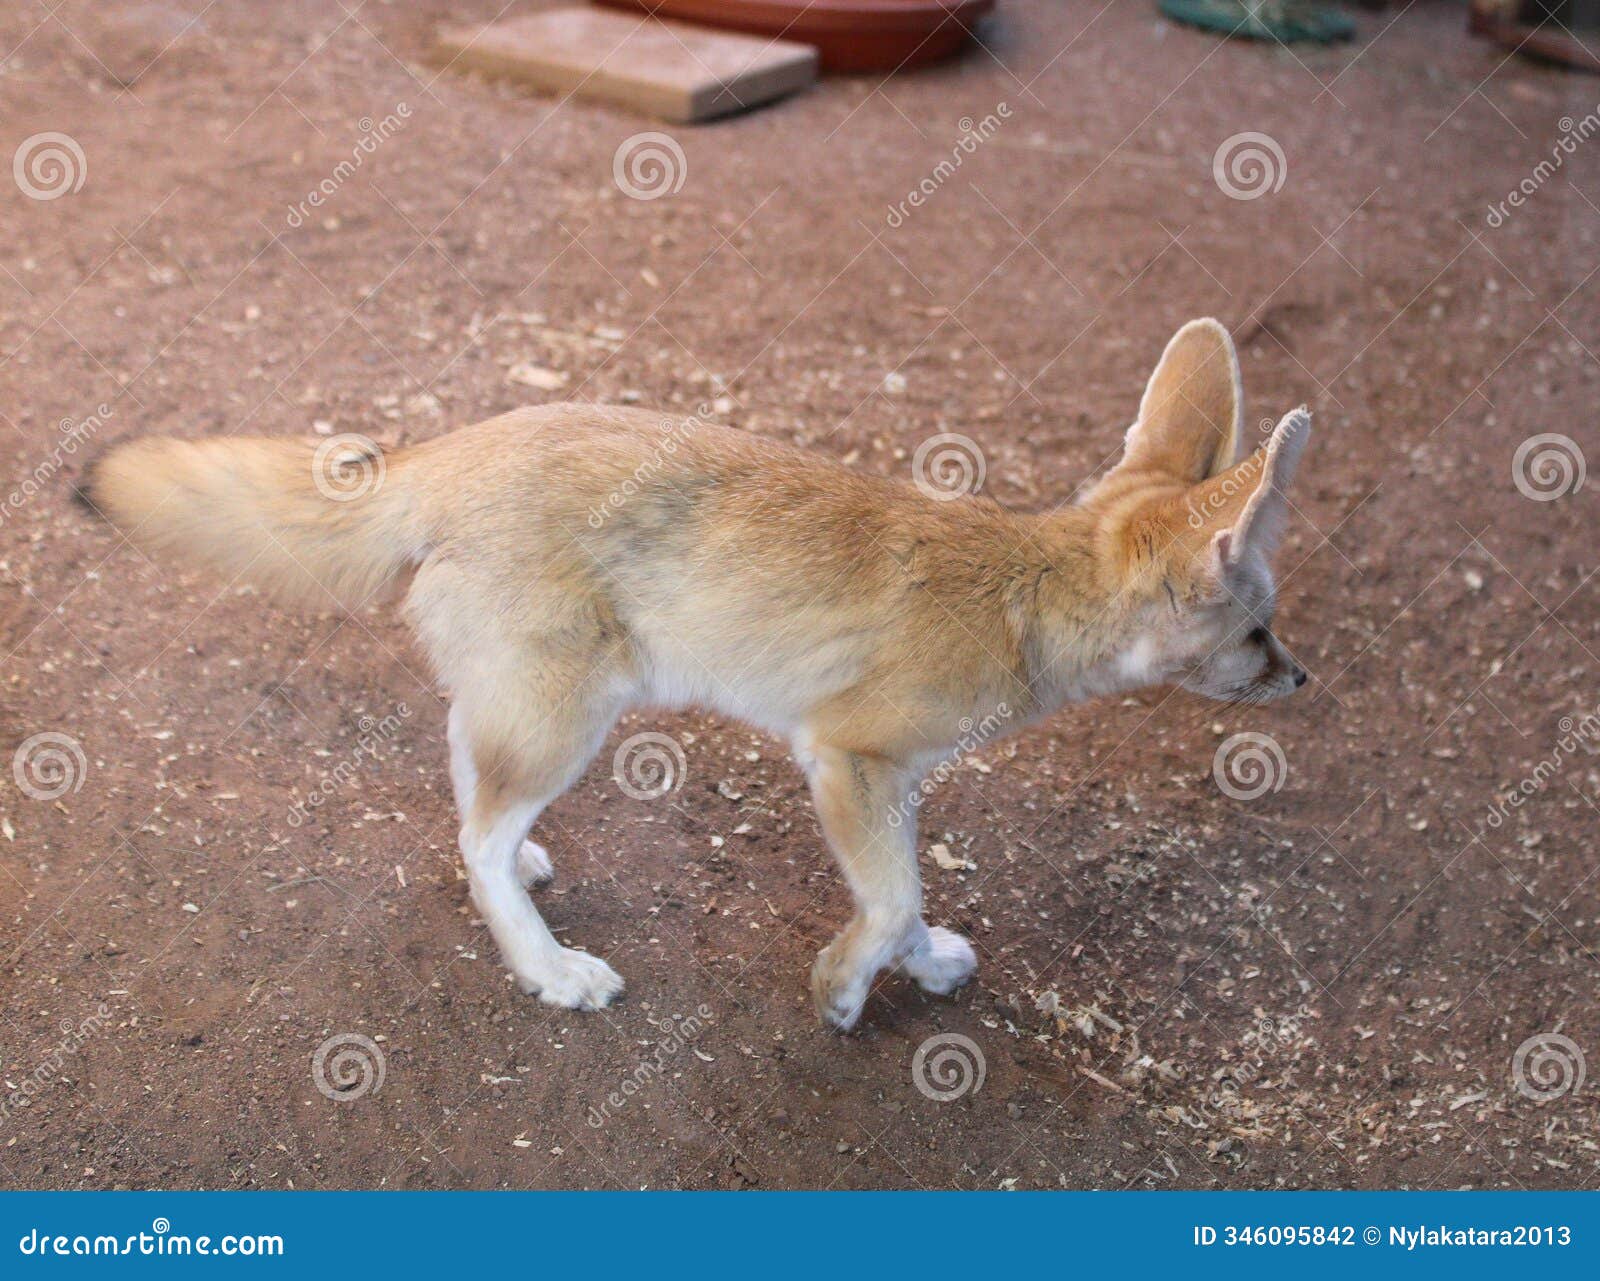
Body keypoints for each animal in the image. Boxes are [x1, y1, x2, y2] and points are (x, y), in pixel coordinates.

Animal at [77, 317, 1310, 1031]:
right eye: (1260, 632)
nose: (1299, 683)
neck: (1027, 594)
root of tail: (450, 449)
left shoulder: (887, 782)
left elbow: (902, 902)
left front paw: (910, 968)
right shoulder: (848, 759)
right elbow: (892, 900)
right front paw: (851, 989)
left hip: (534, 707)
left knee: (467, 792)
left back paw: (524, 873)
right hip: (574, 716)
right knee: (473, 837)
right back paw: (549, 968)